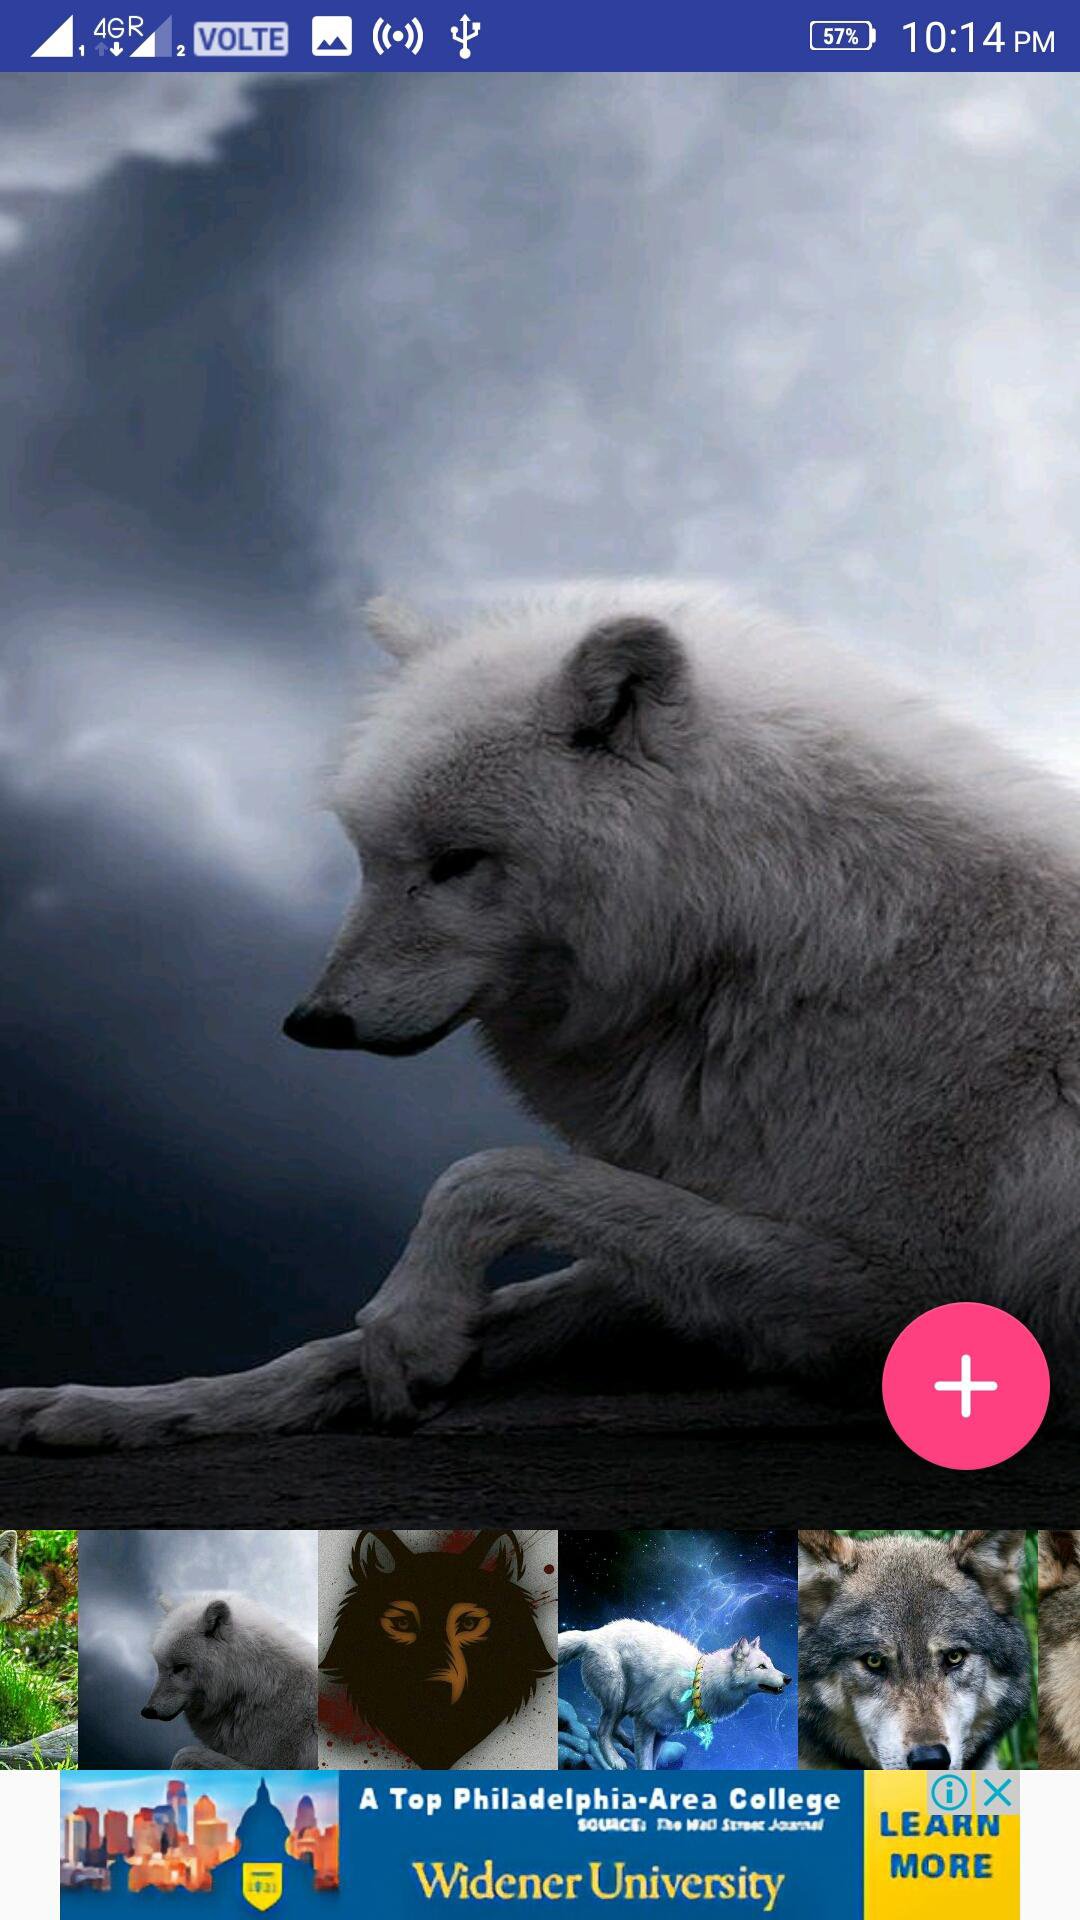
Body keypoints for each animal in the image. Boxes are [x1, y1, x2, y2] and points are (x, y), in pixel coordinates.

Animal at [6, 581, 1080, 1447]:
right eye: (370, 858)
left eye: (456, 862)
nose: (311, 1023)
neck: (770, 939)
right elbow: (345, 1346)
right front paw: (115, 1409)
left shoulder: (896, 1289)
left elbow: (489, 1174)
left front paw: (412, 1323)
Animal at [558, 1620, 791, 1770]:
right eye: (761, 1666)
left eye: (771, 1664)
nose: (788, 1678)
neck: (699, 1683)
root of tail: (593, 1634)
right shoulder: (646, 1723)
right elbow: (645, 1764)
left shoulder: (662, 1731)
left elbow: (651, 1761)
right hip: (617, 1694)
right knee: (603, 1730)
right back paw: (615, 1760)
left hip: (626, 1700)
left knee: (613, 1727)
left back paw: (628, 1743)